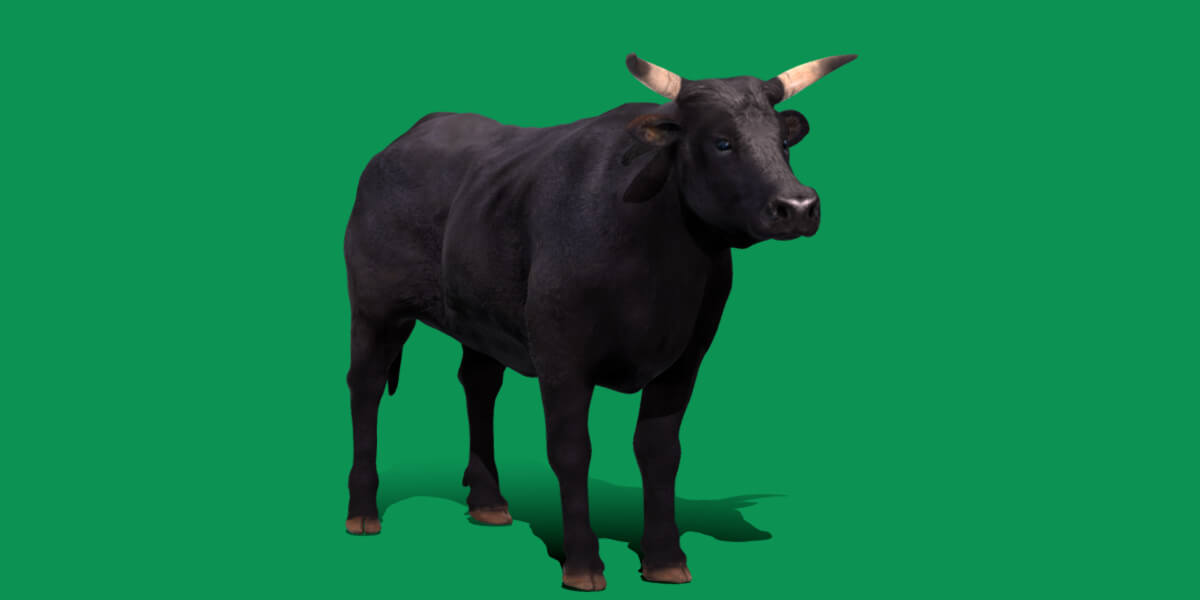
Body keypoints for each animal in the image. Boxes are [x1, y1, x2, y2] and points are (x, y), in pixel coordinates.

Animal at [342, 53, 856, 590]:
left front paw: (665, 559)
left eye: (783, 142)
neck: (659, 273)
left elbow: (659, 451)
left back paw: (488, 504)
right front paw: (583, 564)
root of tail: (404, 139)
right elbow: (571, 451)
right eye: (722, 142)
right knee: (366, 386)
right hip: (374, 309)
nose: (798, 206)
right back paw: (362, 512)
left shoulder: (686, 358)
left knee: (478, 385)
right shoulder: (562, 358)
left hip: (479, 319)